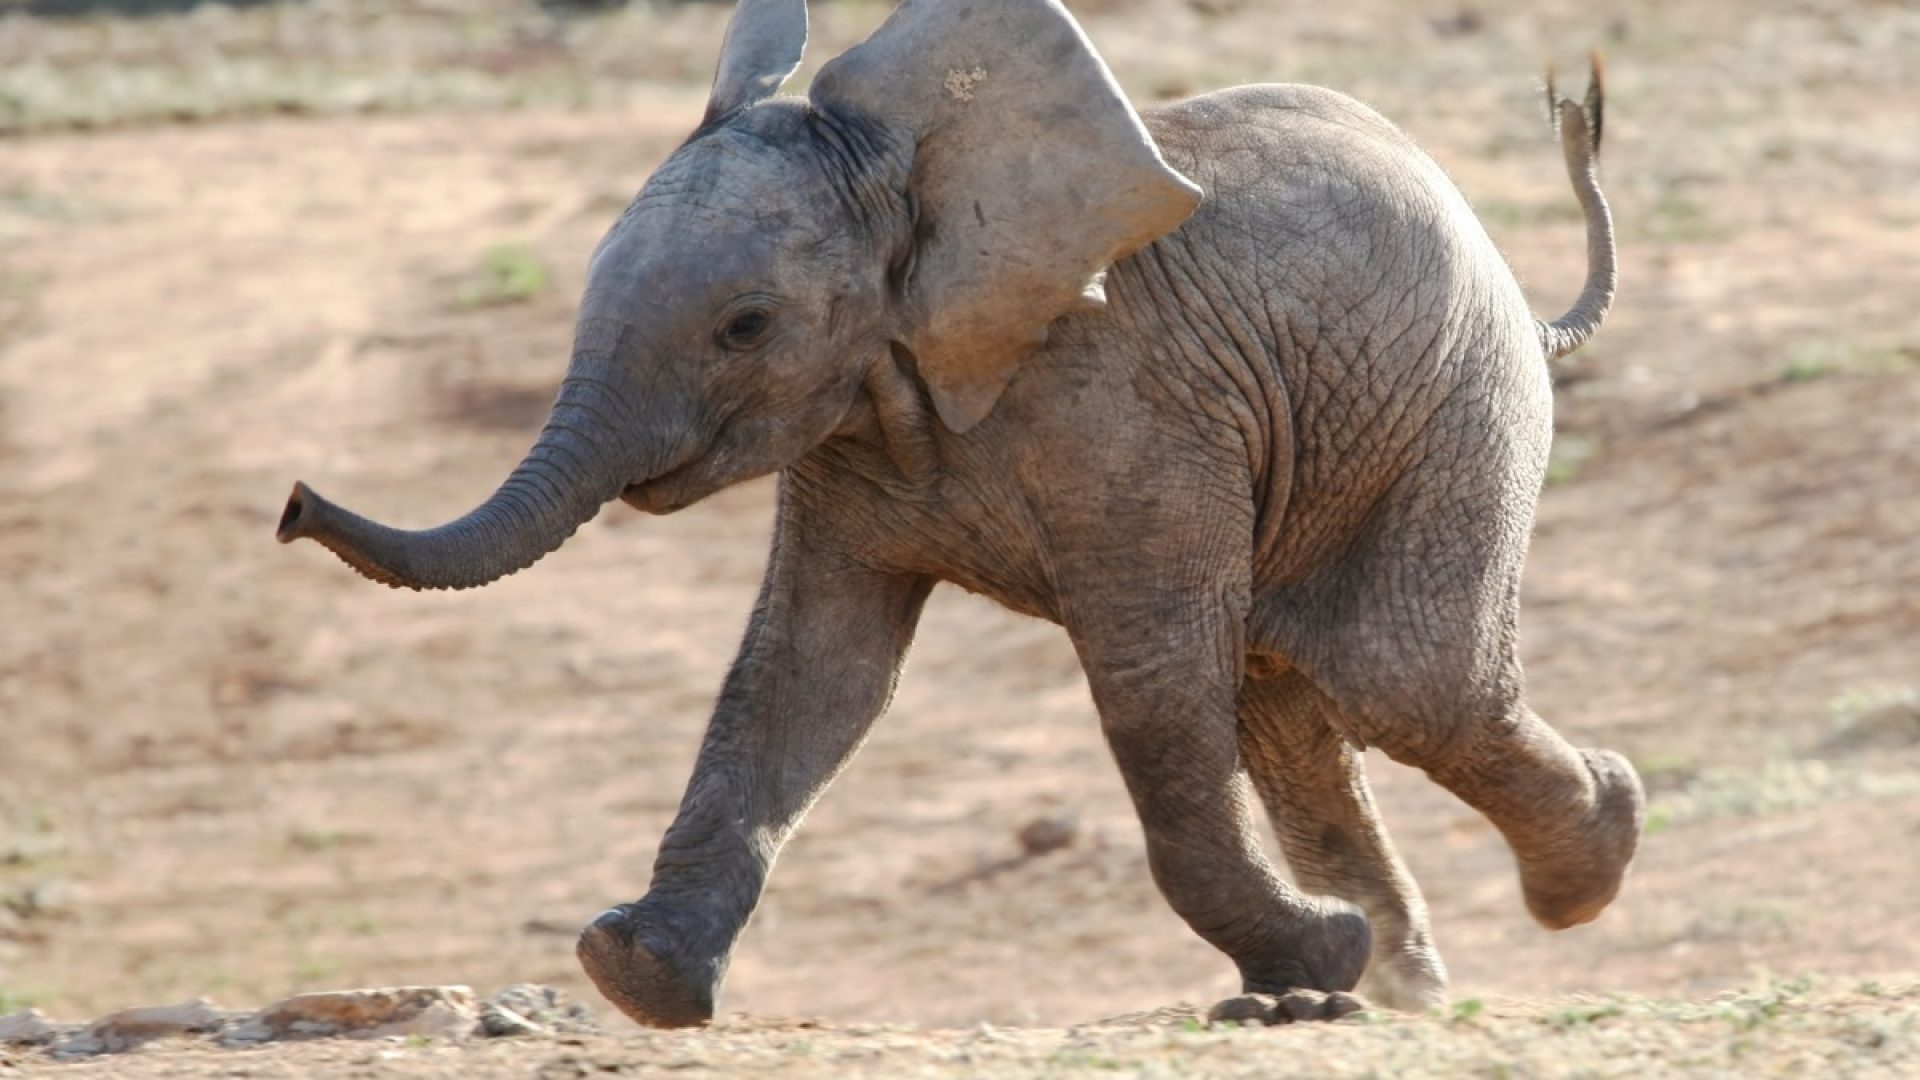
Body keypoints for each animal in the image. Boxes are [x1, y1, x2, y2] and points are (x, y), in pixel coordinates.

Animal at [276, 0, 1643, 1026]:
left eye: (745, 327)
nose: (289, 505)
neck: (914, 182)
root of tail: (1525, 298)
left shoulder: (1134, 411)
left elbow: (1150, 681)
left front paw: (1315, 962)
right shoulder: (850, 429)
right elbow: (813, 671)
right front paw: (633, 973)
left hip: (1457, 406)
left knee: (1398, 676)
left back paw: (1587, 862)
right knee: (1294, 700)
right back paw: (1407, 983)